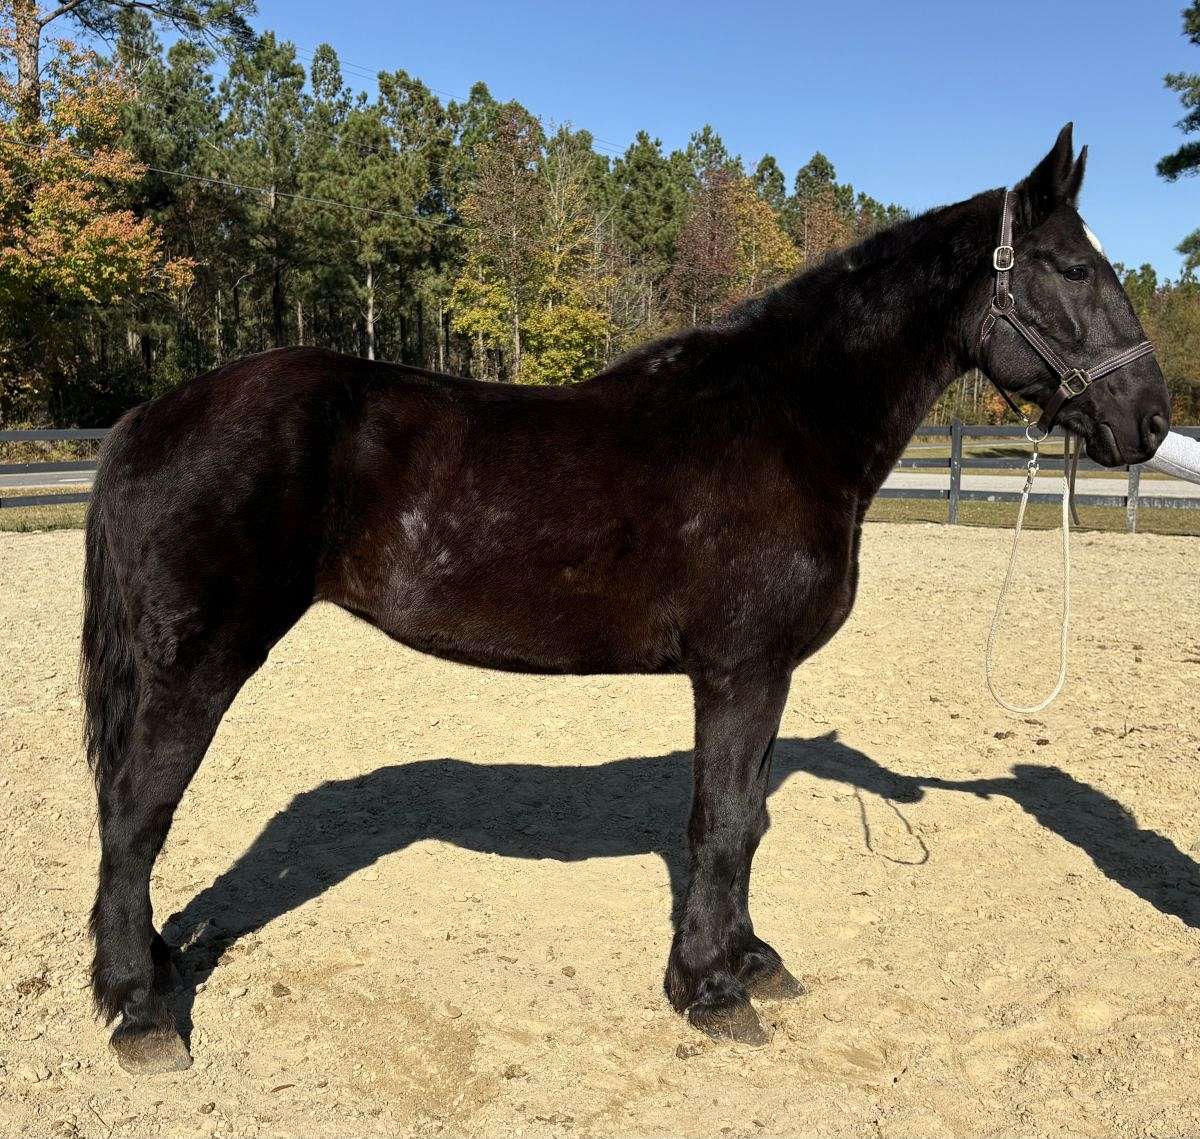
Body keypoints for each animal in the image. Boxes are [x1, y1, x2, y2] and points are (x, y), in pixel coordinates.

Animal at [81, 124, 1170, 1073]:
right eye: (1073, 269)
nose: (1152, 420)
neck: (787, 419)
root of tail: (149, 415)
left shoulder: (760, 677)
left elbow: (747, 820)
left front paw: (750, 961)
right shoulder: (740, 671)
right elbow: (720, 823)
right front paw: (710, 991)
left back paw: (149, 973)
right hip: (201, 659)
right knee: (135, 813)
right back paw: (142, 1010)